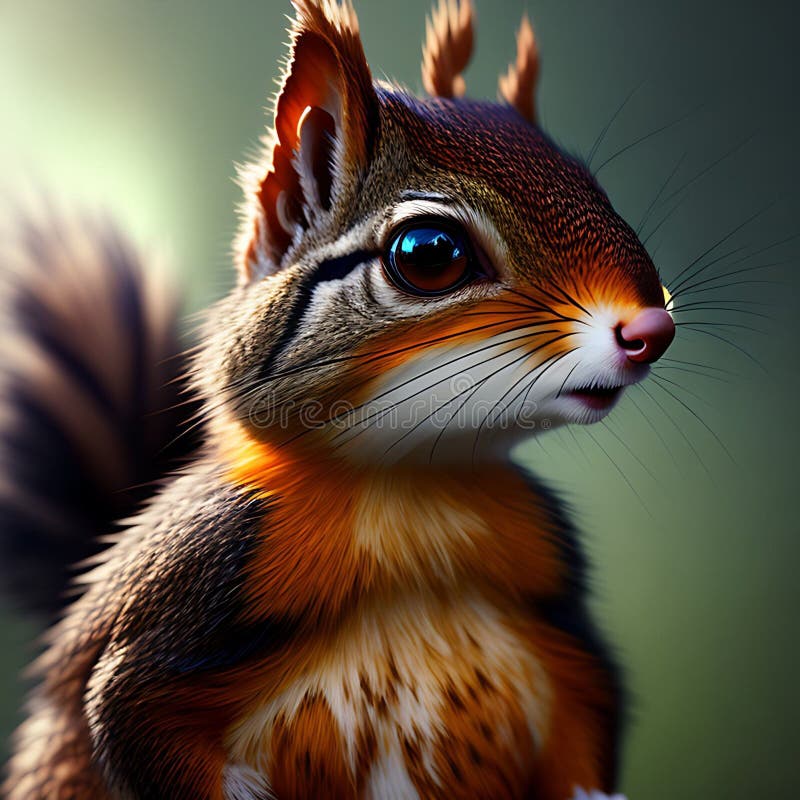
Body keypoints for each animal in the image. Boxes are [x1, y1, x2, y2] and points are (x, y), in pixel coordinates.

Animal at [1, 1, 677, 798]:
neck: (415, 493)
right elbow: (129, 709)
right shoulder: (202, 572)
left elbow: (586, 702)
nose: (653, 329)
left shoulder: (551, 572)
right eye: (428, 254)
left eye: (591, 183)